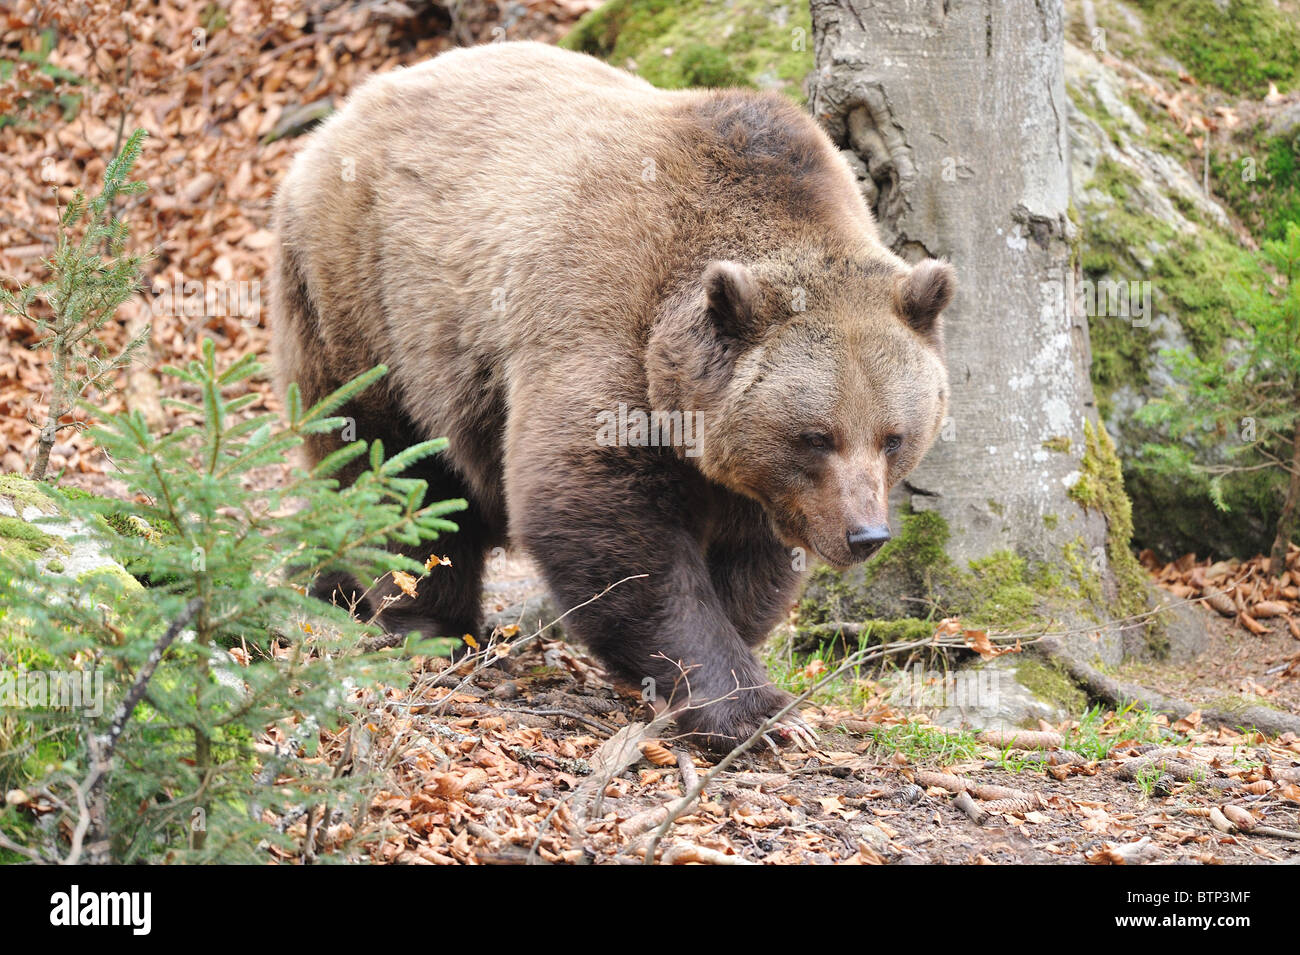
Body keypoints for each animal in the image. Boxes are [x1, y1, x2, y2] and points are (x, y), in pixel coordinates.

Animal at [271, 41, 954, 750]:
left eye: (894, 437)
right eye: (816, 436)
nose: (865, 533)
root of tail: (347, 110)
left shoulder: (755, 481)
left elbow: (748, 562)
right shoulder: (604, 322)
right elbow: (605, 521)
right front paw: (751, 710)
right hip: (364, 300)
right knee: (392, 469)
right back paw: (428, 625)